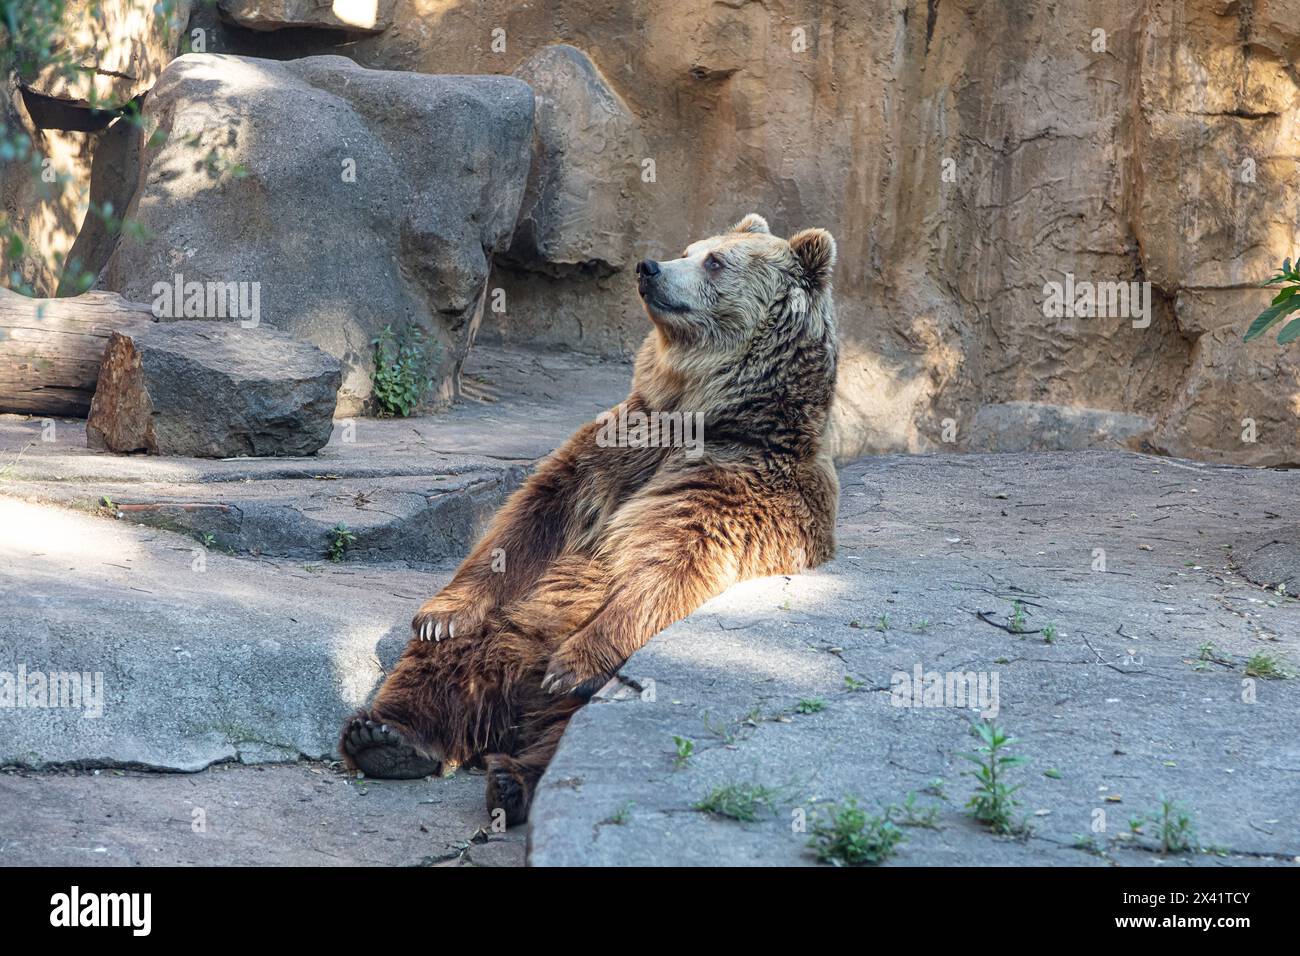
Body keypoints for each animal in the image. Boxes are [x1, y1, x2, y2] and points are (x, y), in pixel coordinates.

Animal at [340, 213, 840, 826]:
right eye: (690, 248)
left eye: (716, 261)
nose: (649, 268)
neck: (701, 411)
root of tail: (516, 704)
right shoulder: (620, 446)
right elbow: (530, 519)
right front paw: (441, 615)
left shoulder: (731, 487)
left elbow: (666, 570)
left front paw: (573, 663)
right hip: (508, 624)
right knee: (445, 666)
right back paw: (387, 736)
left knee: (569, 734)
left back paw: (512, 777)